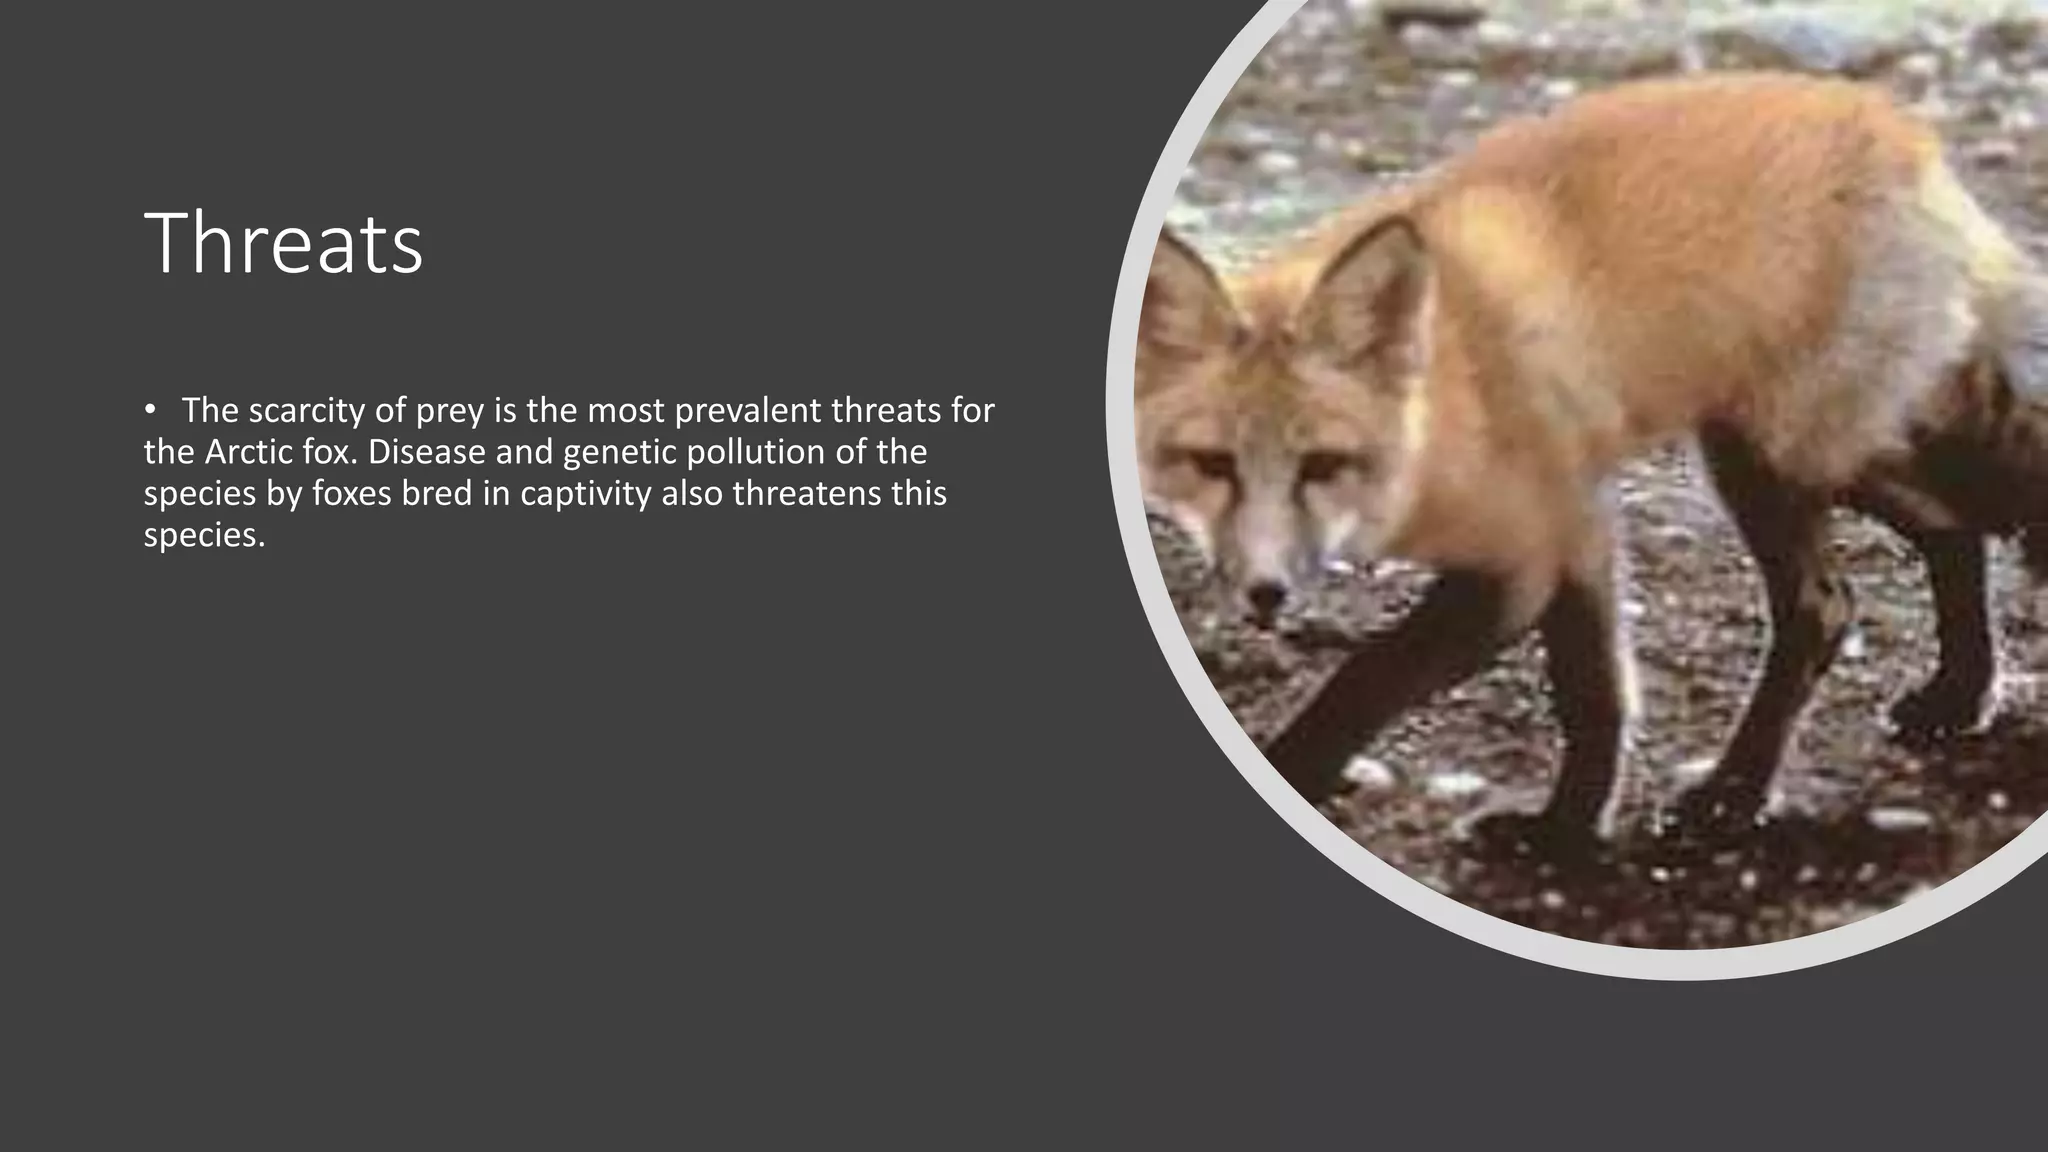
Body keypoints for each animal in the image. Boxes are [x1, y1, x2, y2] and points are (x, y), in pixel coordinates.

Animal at [1135, 72, 2048, 852]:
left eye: (1323, 464)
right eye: (1211, 464)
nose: (1264, 594)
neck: (1443, 393)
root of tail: (1906, 135)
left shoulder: (1533, 545)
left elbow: (1379, 672)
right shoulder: (1576, 531)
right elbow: (1597, 692)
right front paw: (1571, 823)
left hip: (1780, 452)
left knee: (1832, 602)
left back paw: (1735, 795)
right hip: (1801, 447)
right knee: (1950, 529)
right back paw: (1957, 696)